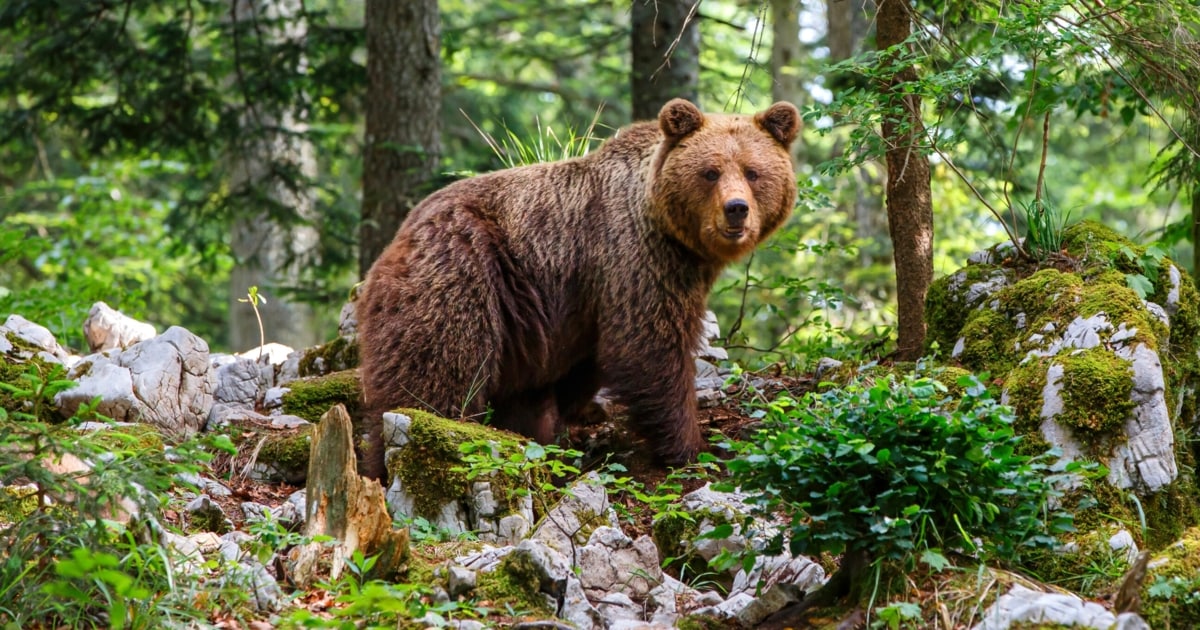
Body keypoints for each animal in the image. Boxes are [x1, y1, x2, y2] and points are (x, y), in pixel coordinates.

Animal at [358, 98, 800, 480]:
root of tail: (397, 239)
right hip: (461, 271)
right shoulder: (636, 257)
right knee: (435, 374)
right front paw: (690, 447)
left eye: (753, 171)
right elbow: (651, 349)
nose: (736, 209)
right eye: (710, 172)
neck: (676, 237)